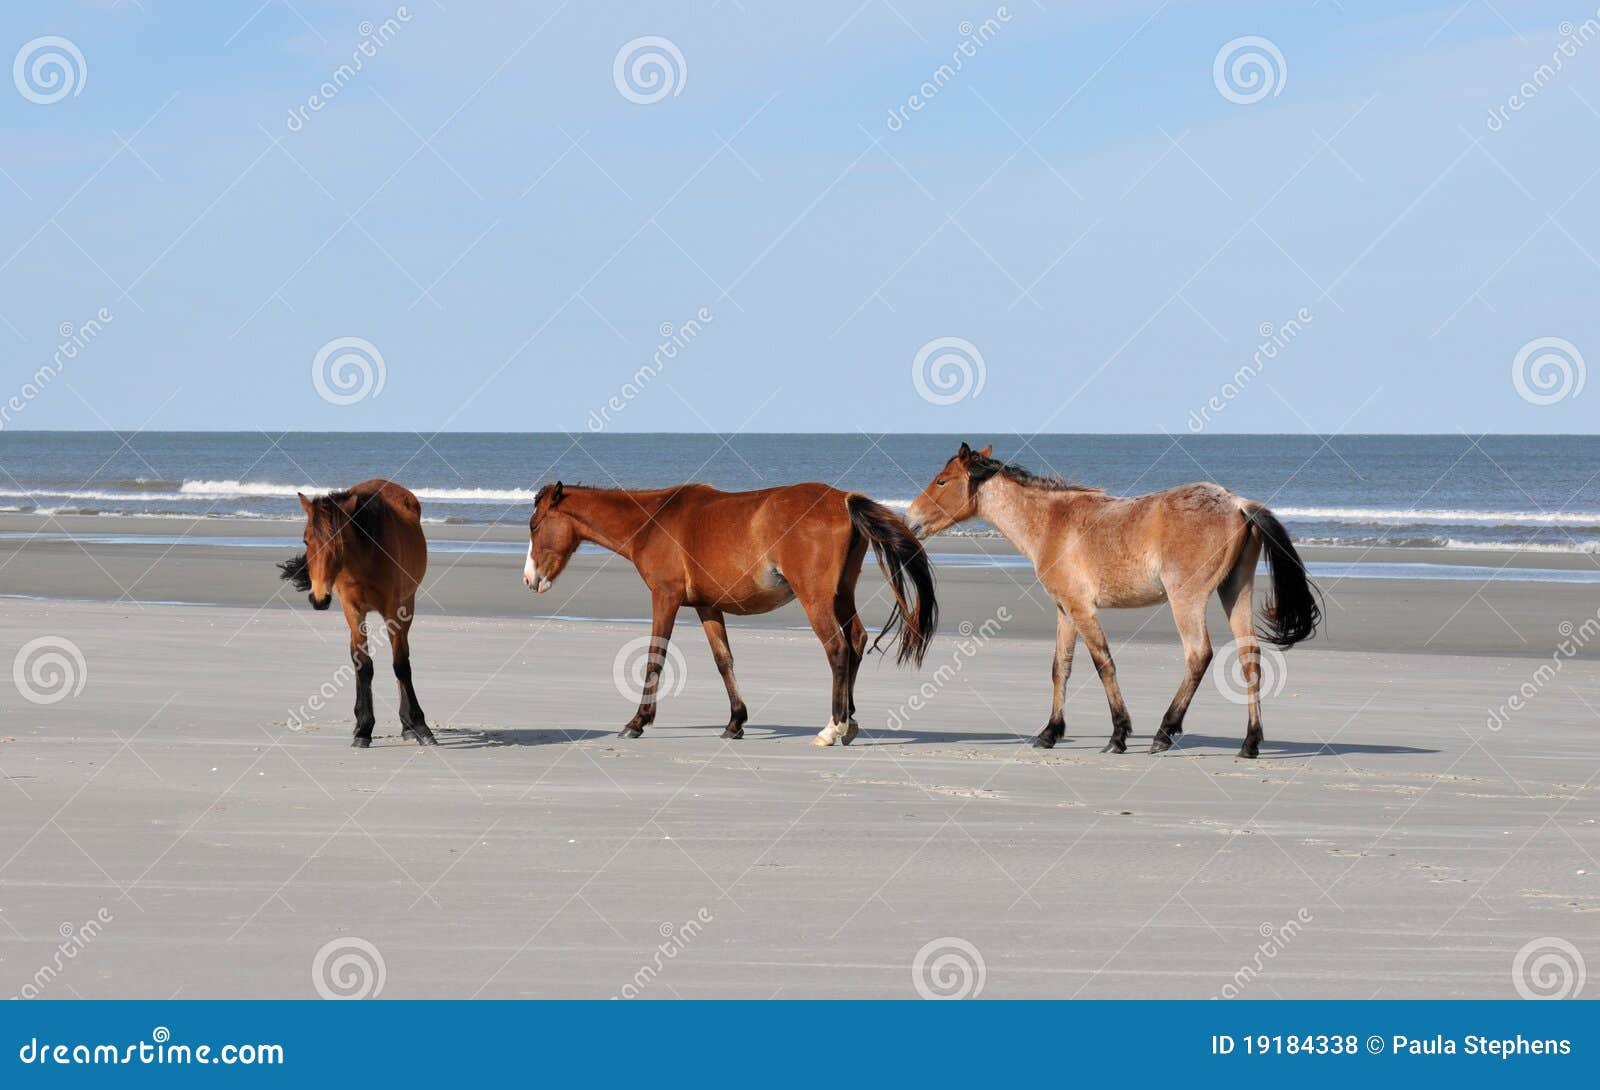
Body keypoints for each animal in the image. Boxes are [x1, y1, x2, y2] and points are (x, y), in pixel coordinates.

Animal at [278, 479, 436, 749]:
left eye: (339, 542)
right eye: (306, 541)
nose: (318, 598)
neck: (365, 558)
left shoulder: (394, 610)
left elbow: (400, 665)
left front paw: (420, 726)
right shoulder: (352, 609)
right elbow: (363, 664)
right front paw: (363, 729)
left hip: (407, 606)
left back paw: (407, 726)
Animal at [522, 481, 937, 746]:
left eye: (534, 525)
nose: (530, 579)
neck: (653, 520)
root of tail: (844, 500)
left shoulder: (665, 597)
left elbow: (655, 657)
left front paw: (637, 722)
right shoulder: (708, 607)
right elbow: (724, 661)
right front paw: (736, 721)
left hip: (816, 598)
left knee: (837, 649)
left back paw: (832, 728)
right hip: (841, 594)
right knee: (855, 641)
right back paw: (848, 722)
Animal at [905, 444, 1320, 758]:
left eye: (942, 481)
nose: (911, 518)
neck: (1052, 521)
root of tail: (1237, 504)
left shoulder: (1082, 608)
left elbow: (1103, 664)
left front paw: (1118, 735)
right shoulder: (1065, 610)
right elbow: (1061, 668)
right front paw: (1050, 733)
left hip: (1186, 599)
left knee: (1199, 655)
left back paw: (1164, 733)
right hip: (1234, 592)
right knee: (1250, 660)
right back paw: (1249, 743)